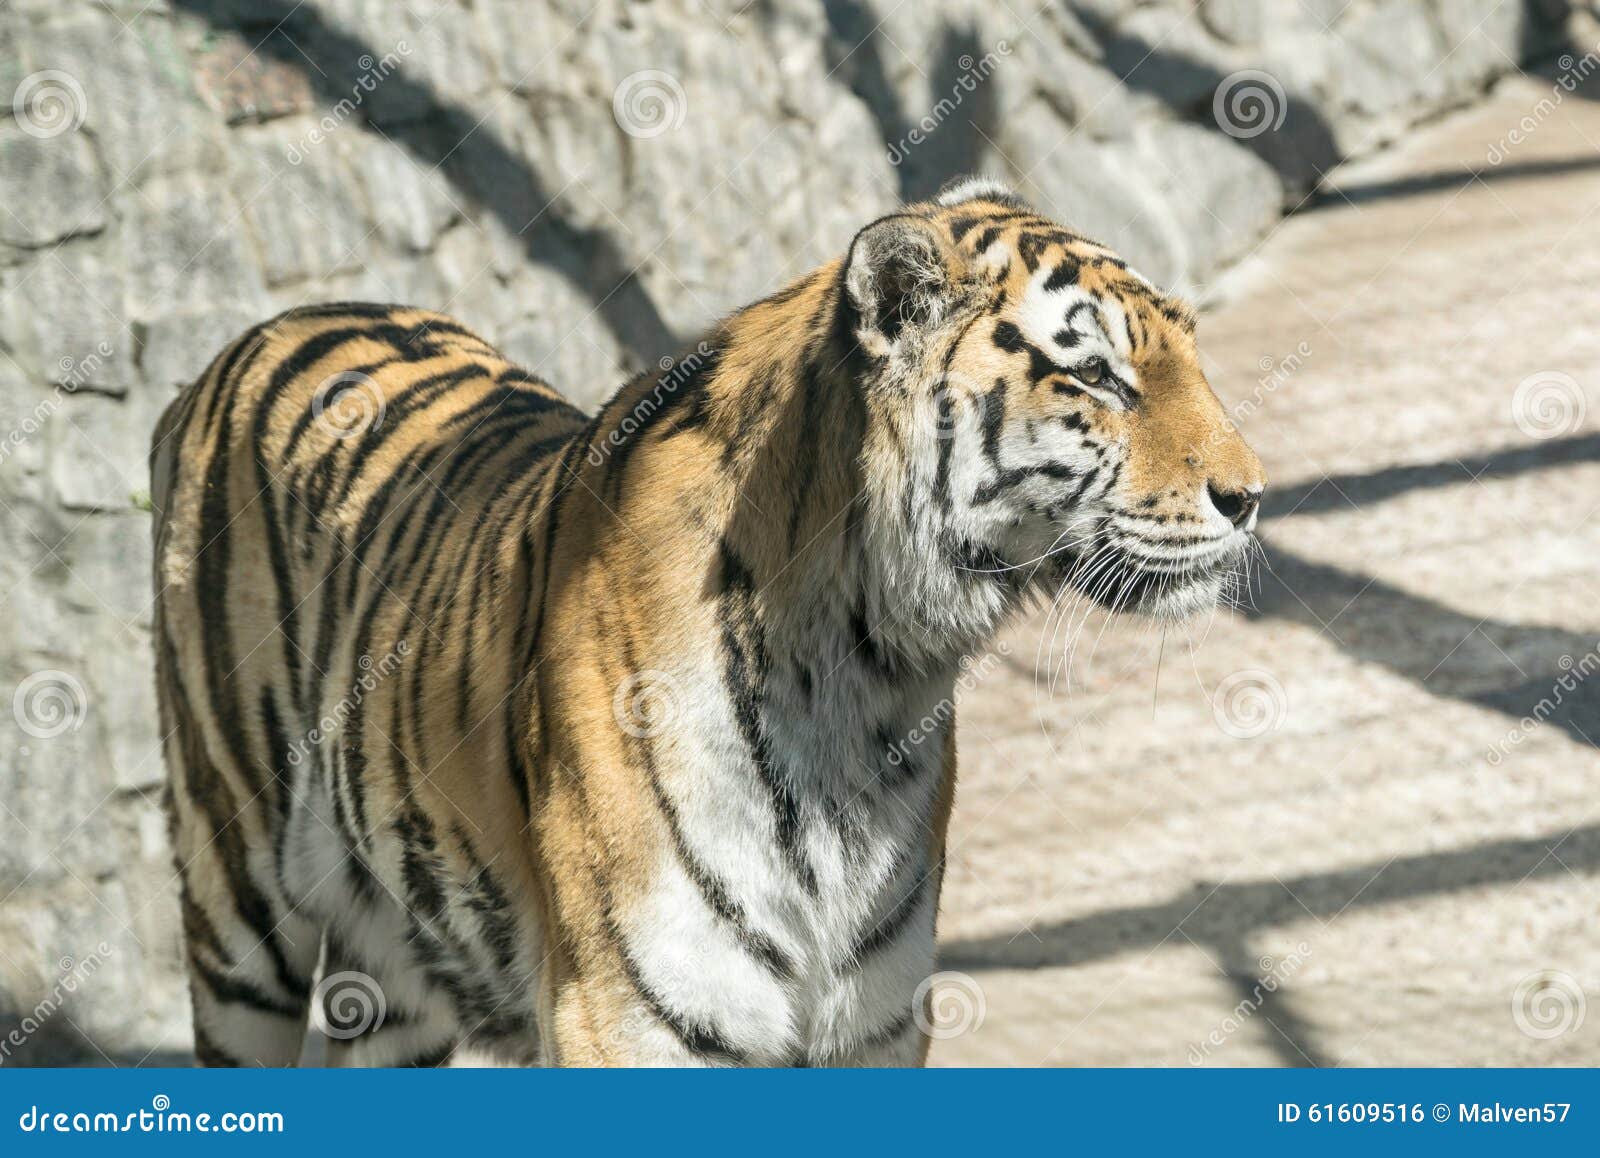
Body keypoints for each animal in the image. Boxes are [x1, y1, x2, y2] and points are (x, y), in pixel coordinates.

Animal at [149, 176, 1264, 1068]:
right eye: (1096, 376)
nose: (1252, 496)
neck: (870, 671)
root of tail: (265, 329)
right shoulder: (631, 1015)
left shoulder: (873, 1018)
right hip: (236, 909)